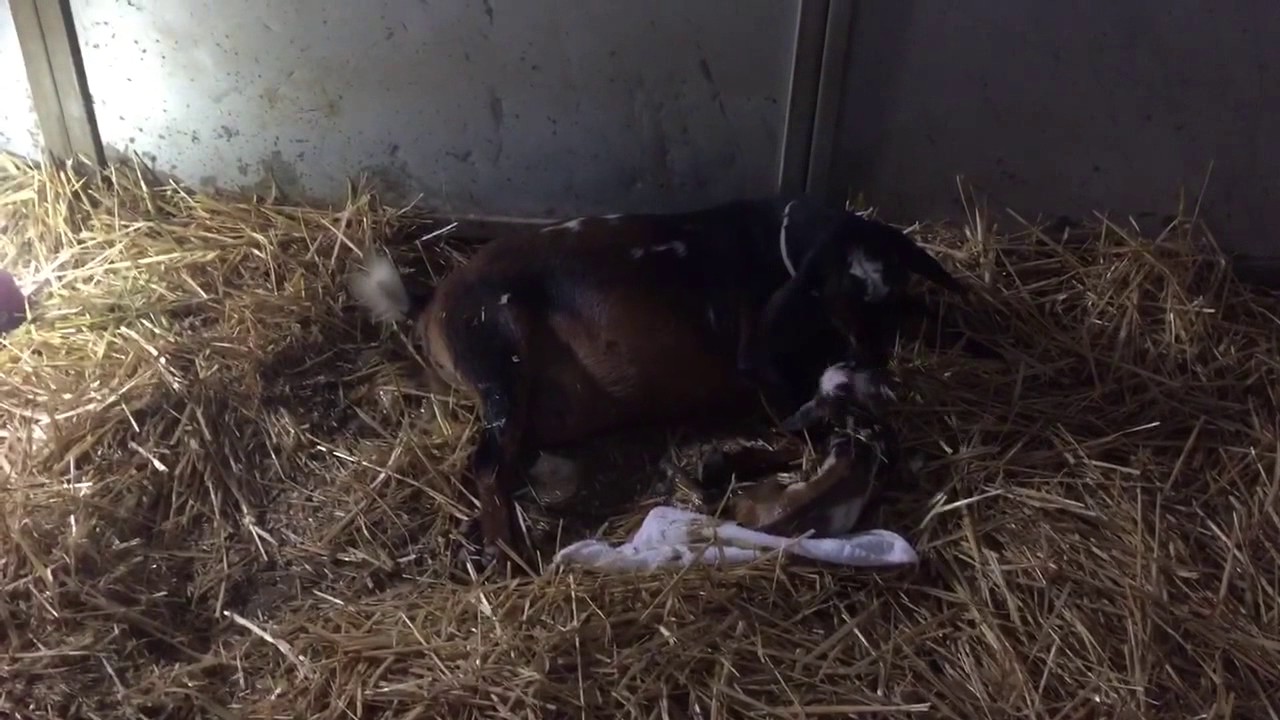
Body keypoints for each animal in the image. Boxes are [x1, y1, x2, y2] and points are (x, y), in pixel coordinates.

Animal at [350, 196, 960, 568]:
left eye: (891, 294)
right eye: (837, 294)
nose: (875, 364)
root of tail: (431, 301)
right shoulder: (764, 361)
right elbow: (809, 424)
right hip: (496, 351)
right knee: (486, 463)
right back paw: (513, 559)